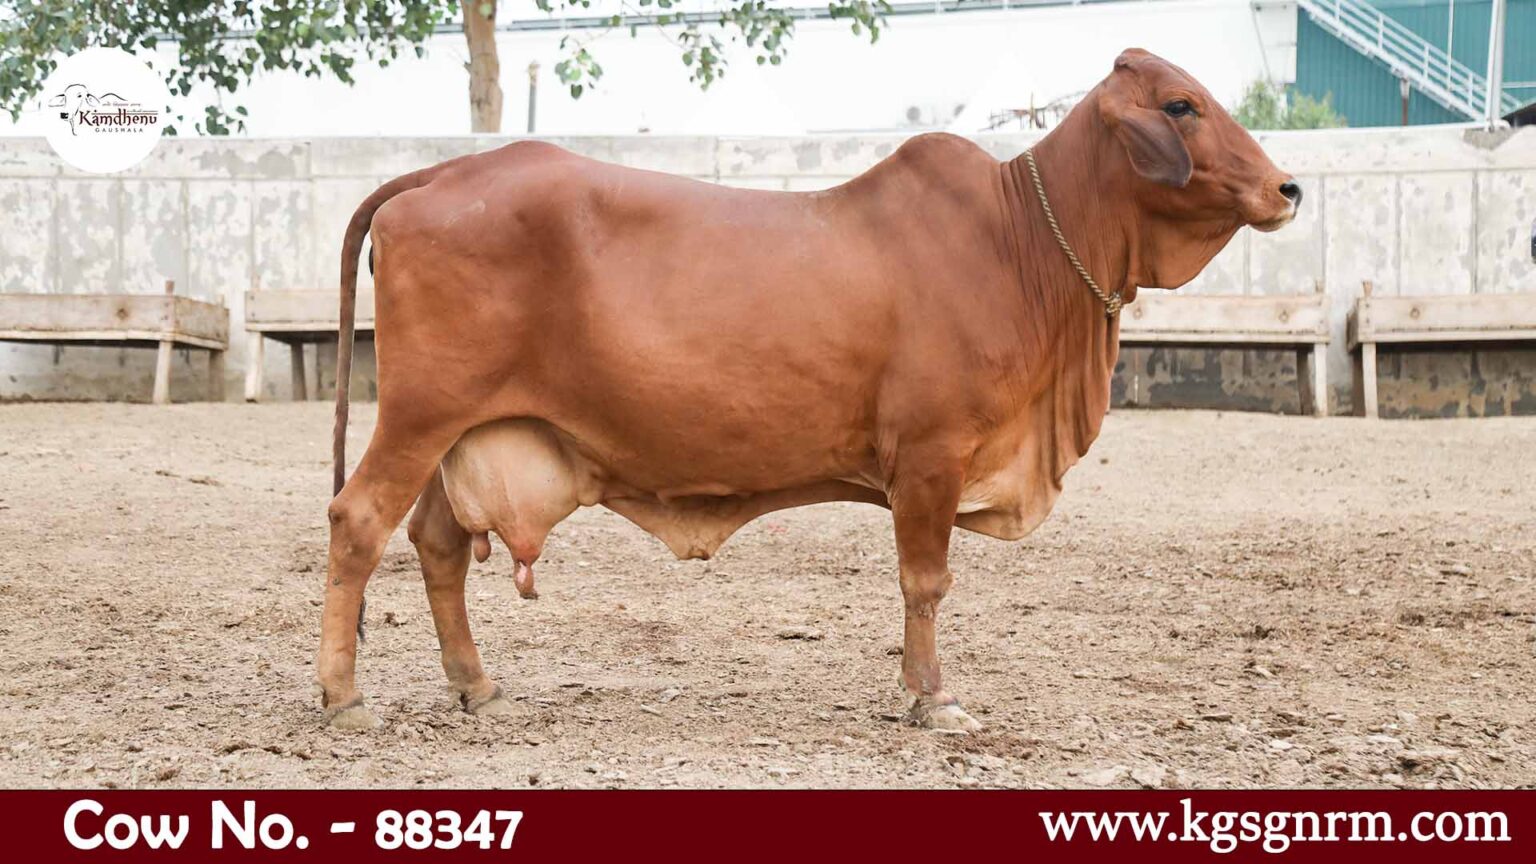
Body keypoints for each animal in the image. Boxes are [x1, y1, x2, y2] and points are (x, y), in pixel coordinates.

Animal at [315, 49, 1299, 732]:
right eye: (1182, 105)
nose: (1287, 187)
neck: (1023, 240)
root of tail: (441, 173)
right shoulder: (932, 459)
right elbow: (925, 582)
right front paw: (931, 699)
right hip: (420, 414)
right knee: (359, 521)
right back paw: (343, 696)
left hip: (463, 432)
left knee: (437, 542)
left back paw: (477, 686)